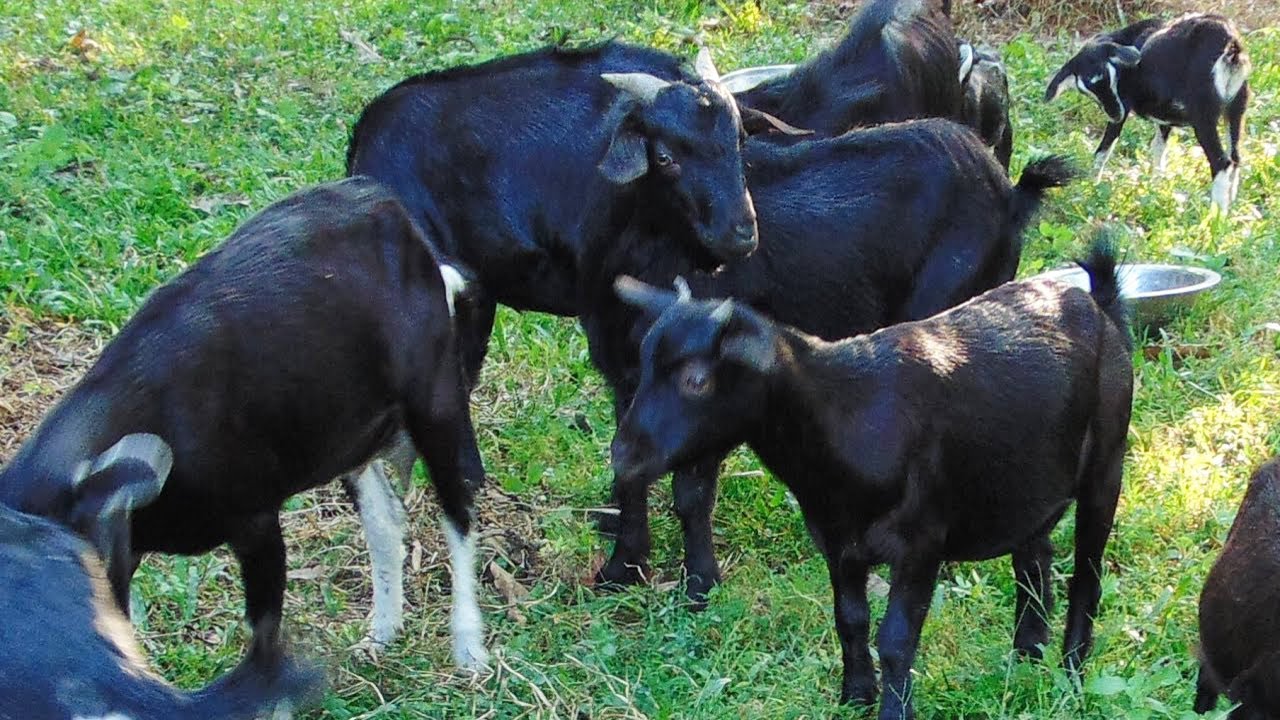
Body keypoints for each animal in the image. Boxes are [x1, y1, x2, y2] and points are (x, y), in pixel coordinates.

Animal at [0, 177, 489, 673]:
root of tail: (393, 213)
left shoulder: (255, 518)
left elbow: (264, 624)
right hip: (350, 431)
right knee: (384, 520)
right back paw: (381, 633)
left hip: (436, 403)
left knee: (458, 508)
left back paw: (469, 649)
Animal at [580, 118, 1076, 604]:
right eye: (662, 156)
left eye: (697, 380)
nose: (737, 237)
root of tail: (1011, 193)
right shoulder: (629, 382)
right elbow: (632, 476)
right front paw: (621, 569)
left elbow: (691, 489)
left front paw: (700, 584)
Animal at [609, 239, 1132, 718]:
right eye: (645, 360)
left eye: (697, 380)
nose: (622, 456)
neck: (848, 418)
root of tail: (1095, 302)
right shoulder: (838, 540)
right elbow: (851, 619)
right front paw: (856, 696)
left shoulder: (922, 541)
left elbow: (896, 639)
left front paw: (893, 710)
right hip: (1024, 481)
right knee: (1034, 557)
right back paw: (1026, 655)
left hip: (1106, 464)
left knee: (1086, 575)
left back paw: (1071, 675)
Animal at [1046, 14, 1251, 211]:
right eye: (1088, 91)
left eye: (1113, 78)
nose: (1114, 114)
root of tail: (1230, 43)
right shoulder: (1164, 118)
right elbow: (1158, 148)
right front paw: (1155, 187)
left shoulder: (1124, 105)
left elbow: (1103, 150)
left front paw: (1090, 189)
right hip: (1237, 108)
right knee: (1235, 156)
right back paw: (1231, 205)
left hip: (1203, 117)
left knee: (1221, 162)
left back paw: (1216, 215)